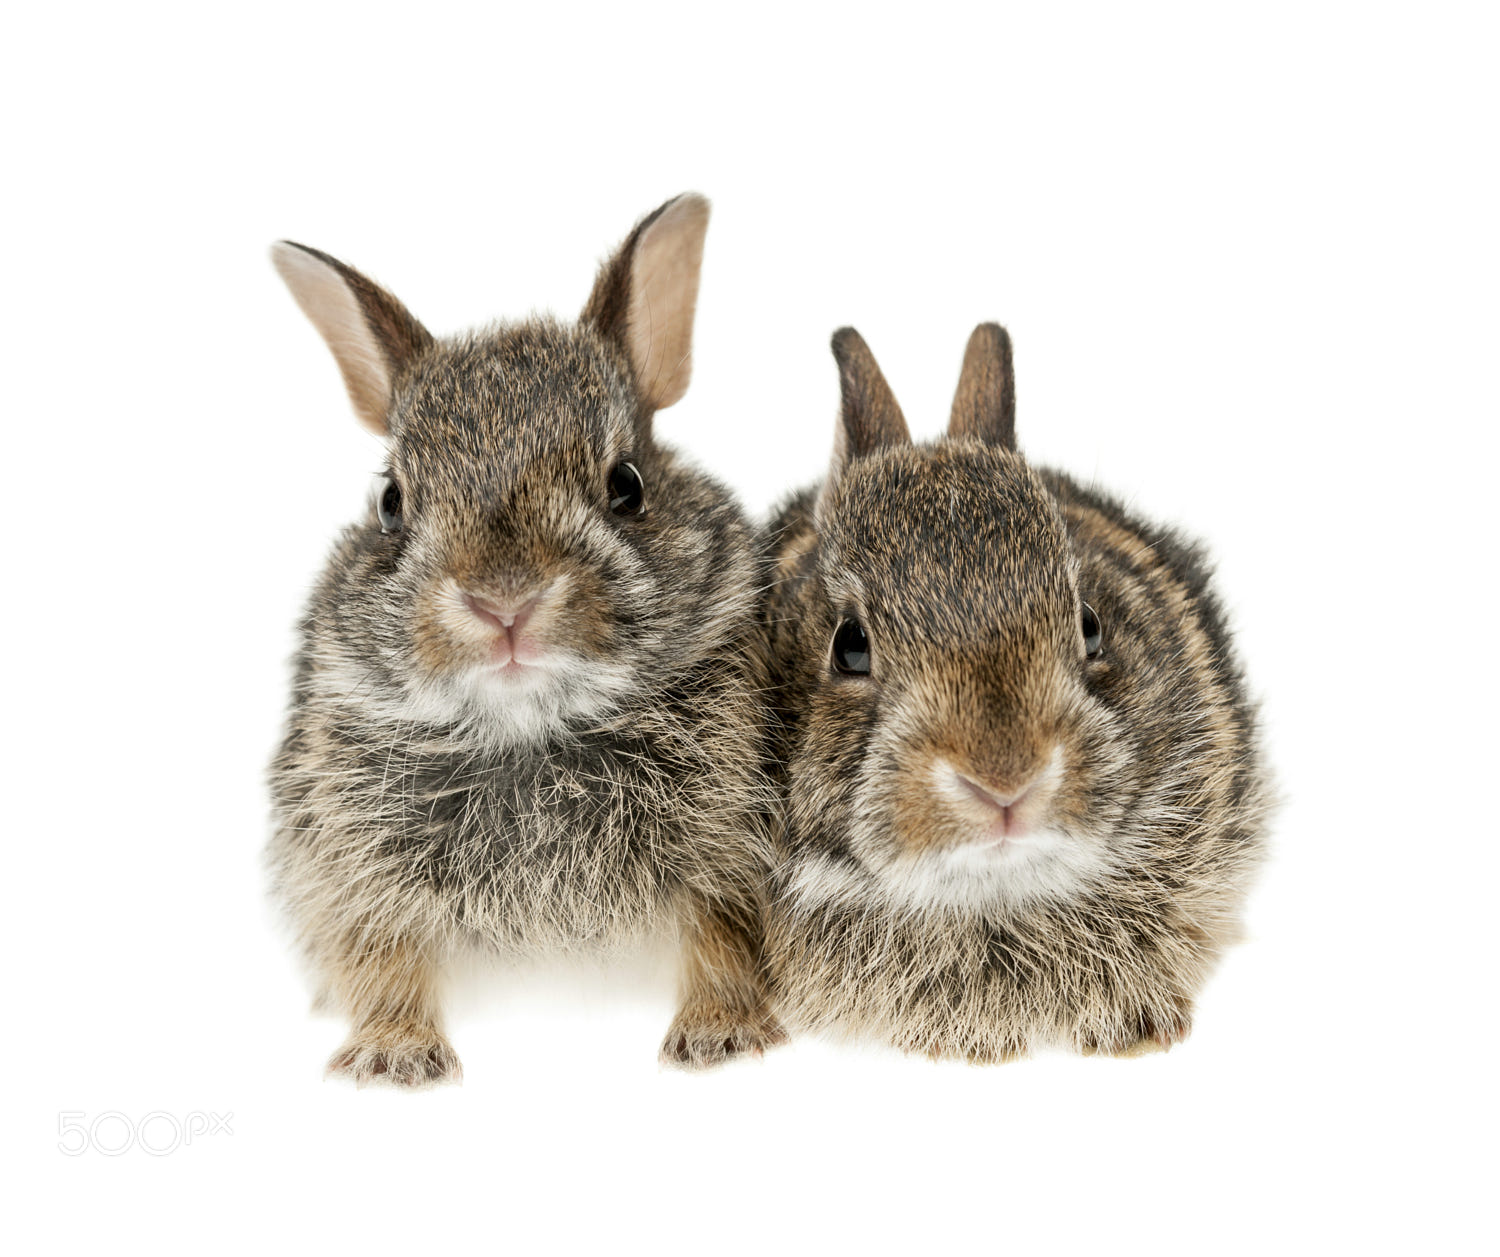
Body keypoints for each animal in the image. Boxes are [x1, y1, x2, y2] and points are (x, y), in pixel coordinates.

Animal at [266, 193, 785, 1085]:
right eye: (392, 502)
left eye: (626, 486)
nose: (502, 602)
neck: (527, 728)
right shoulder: (353, 875)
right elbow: (385, 962)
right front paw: (393, 1054)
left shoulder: (730, 862)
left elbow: (721, 944)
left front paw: (718, 1036)